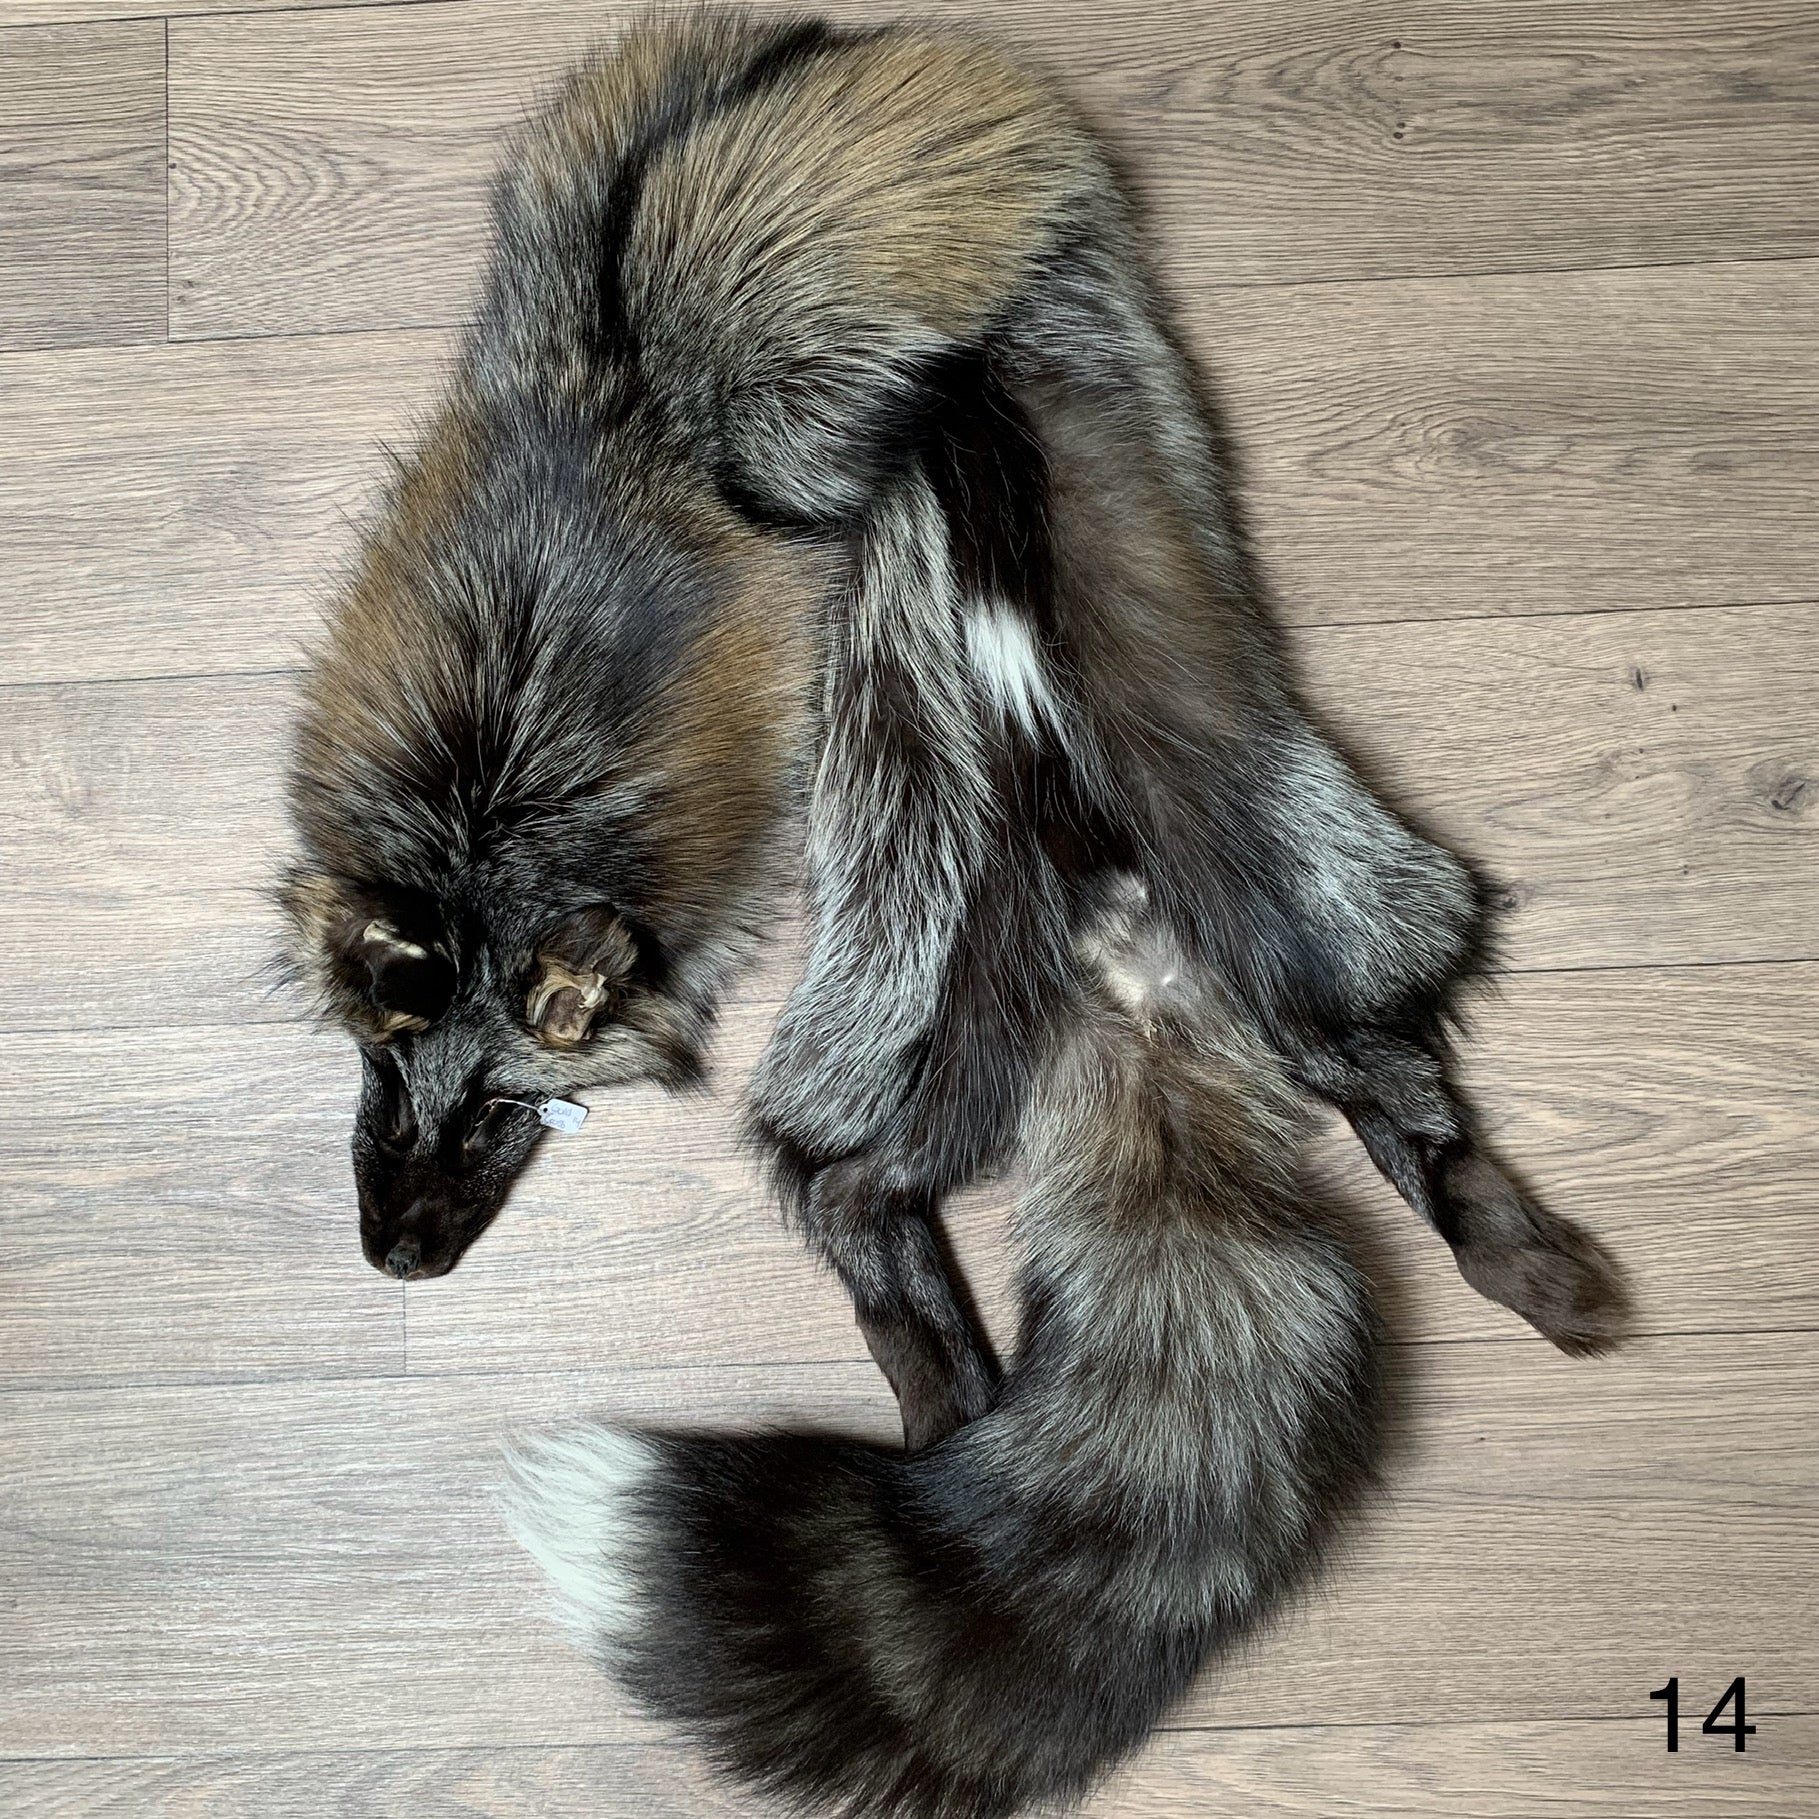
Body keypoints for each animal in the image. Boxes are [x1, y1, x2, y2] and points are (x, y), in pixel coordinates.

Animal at [280, 12, 1627, 1816]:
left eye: (504, 1109)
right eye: (381, 1077)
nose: (397, 1261)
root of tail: (1118, 909)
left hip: (966, 940)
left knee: (890, 1181)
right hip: (1080, 924)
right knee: (1358, 1080)